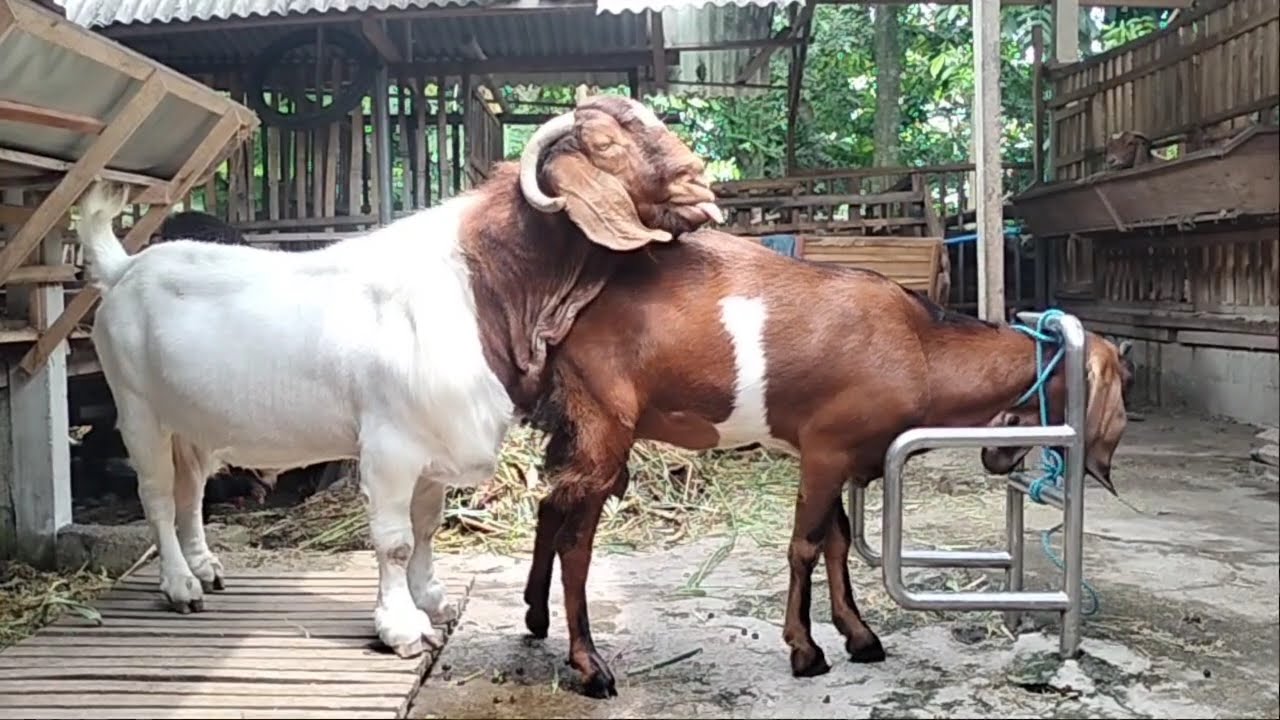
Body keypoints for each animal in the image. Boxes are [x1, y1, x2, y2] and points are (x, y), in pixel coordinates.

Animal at [73, 94, 723, 658]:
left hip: (191, 423)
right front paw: (401, 628)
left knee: (190, 491)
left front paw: (431, 599)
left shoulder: (432, 449)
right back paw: (179, 586)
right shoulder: (389, 446)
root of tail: (124, 266)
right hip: (137, 408)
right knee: (157, 494)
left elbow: (428, 527)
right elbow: (394, 539)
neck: (483, 289)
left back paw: (206, 569)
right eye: (607, 144)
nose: (702, 182)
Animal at [510, 121, 1135, 696]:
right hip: (604, 422)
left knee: (550, 504)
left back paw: (536, 618)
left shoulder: (836, 451)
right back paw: (591, 666)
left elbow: (838, 539)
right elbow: (805, 544)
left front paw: (858, 635)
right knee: (576, 539)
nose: (1001, 461)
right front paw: (805, 649)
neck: (919, 346)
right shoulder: (827, 450)